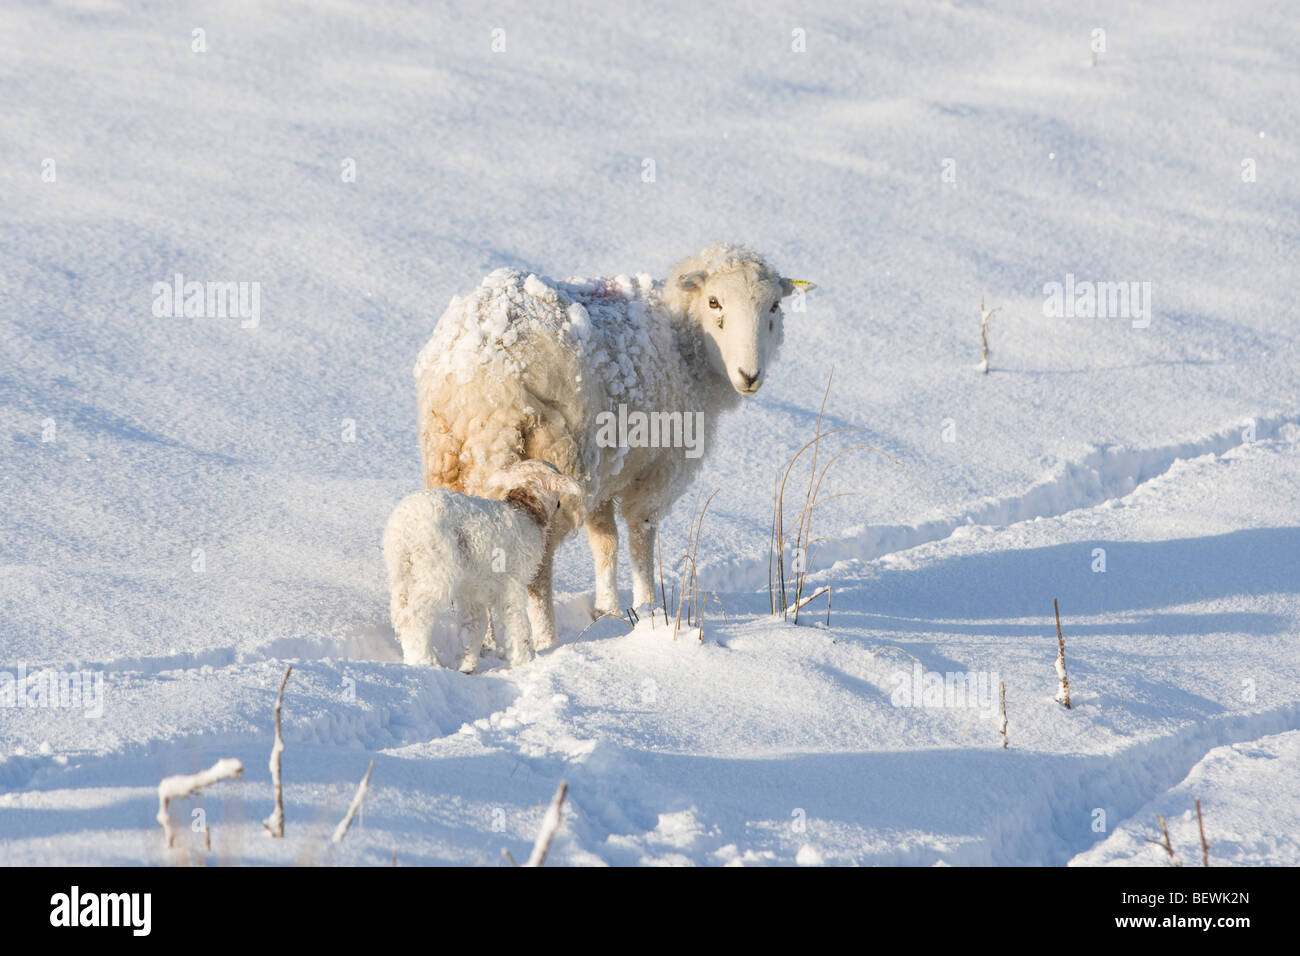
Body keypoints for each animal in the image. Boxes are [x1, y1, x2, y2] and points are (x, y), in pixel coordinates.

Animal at [382, 459, 584, 672]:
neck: (525, 508)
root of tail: (407, 524)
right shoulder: (512, 582)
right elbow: (516, 624)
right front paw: (521, 662)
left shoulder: (472, 590)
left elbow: (474, 625)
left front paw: (467, 665)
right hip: (436, 568)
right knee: (414, 616)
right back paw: (424, 662)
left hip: (401, 569)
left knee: (400, 613)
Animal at [415, 243, 813, 648]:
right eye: (714, 302)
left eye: (774, 306)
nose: (750, 376)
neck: (684, 345)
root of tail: (488, 374)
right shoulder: (657, 469)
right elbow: (640, 537)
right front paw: (650, 608)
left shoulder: (607, 472)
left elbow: (605, 540)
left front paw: (607, 609)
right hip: (558, 455)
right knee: (539, 561)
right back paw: (545, 639)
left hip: (454, 452)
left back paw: (488, 641)